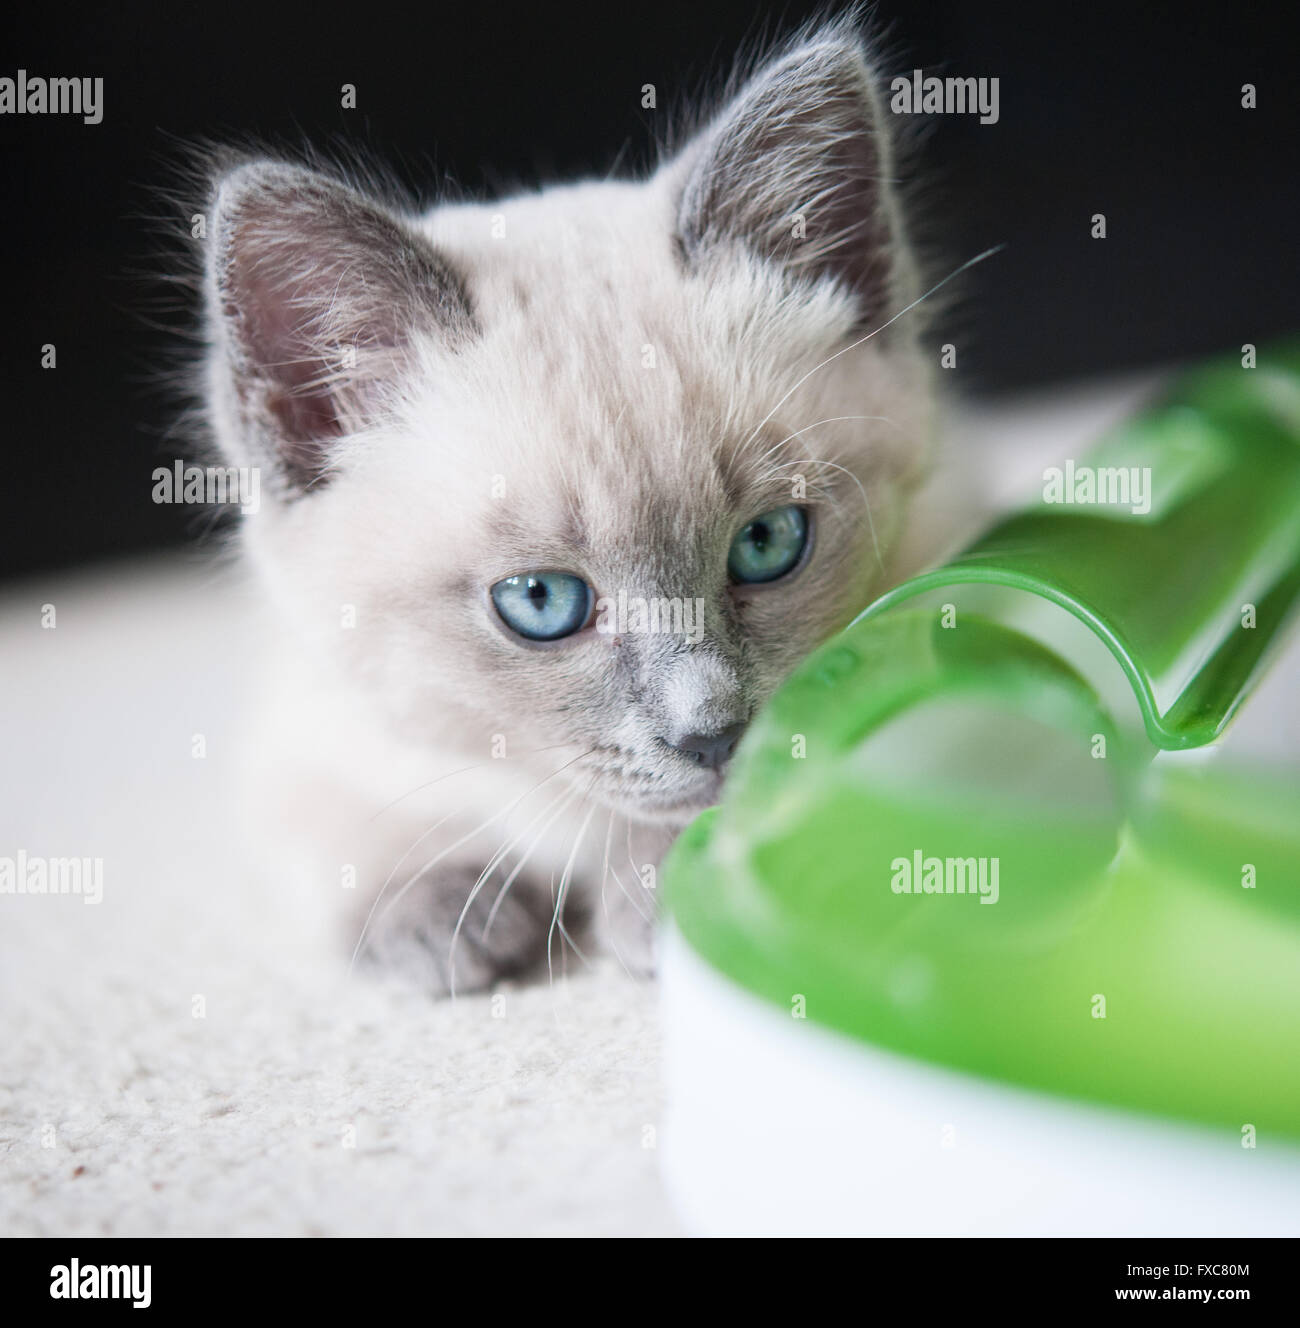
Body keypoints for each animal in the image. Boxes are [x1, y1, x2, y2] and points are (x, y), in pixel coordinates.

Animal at [200, 18, 934, 998]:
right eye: (542, 603)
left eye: (768, 543)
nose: (713, 738)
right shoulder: (301, 730)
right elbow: (343, 823)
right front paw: (439, 913)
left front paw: (667, 890)